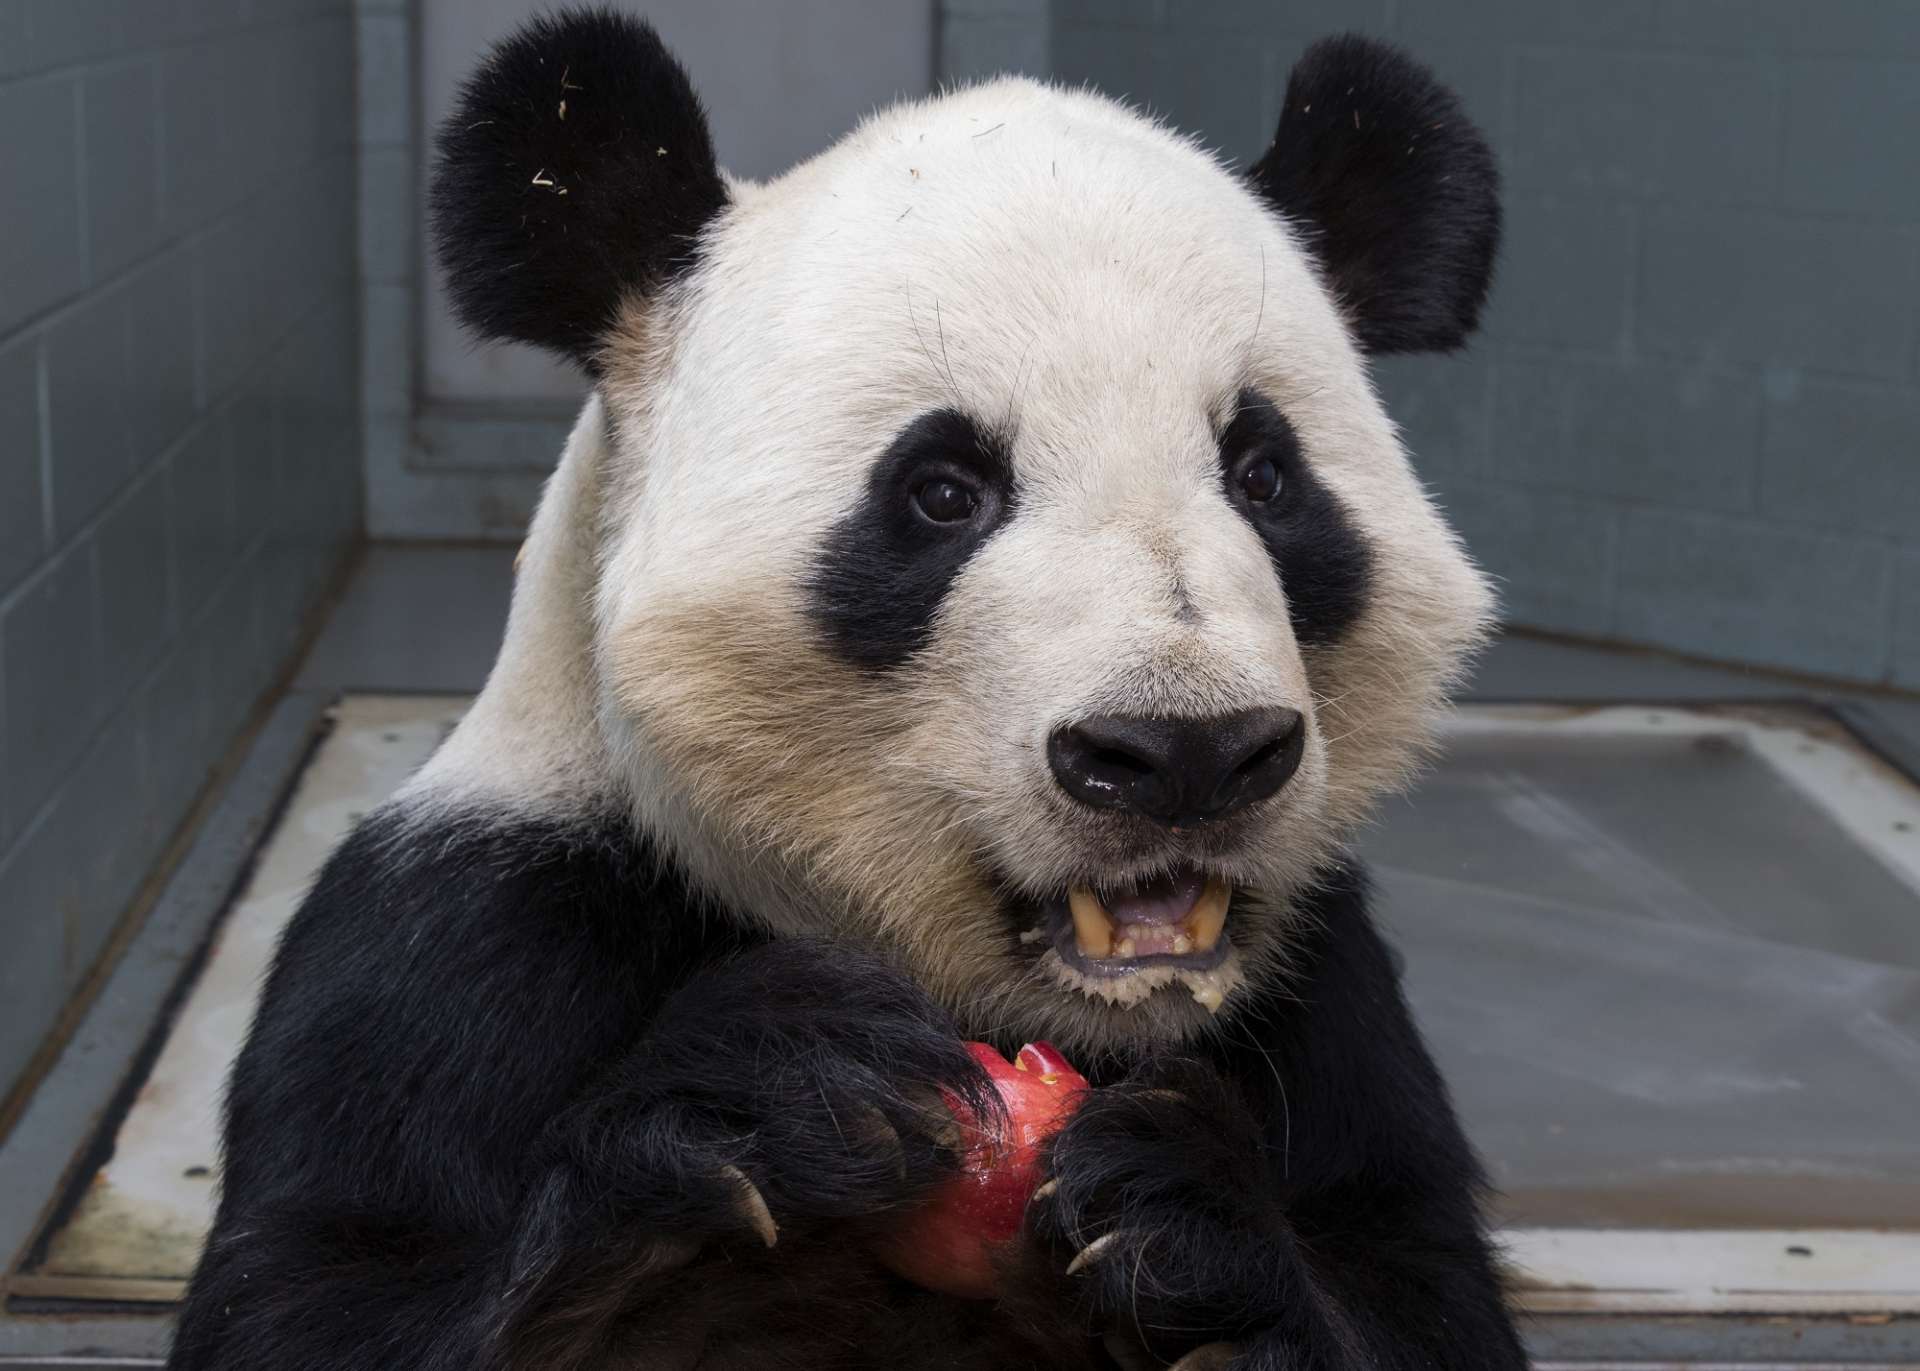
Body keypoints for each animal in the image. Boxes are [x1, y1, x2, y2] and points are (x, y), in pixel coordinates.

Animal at [170, 10, 1520, 1370]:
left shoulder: (1323, 994)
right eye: (942, 491)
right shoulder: (474, 936)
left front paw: (1178, 1200)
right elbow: (318, 1294)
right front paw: (779, 1091)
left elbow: (1422, 1289)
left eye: (1264, 477)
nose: (1183, 751)